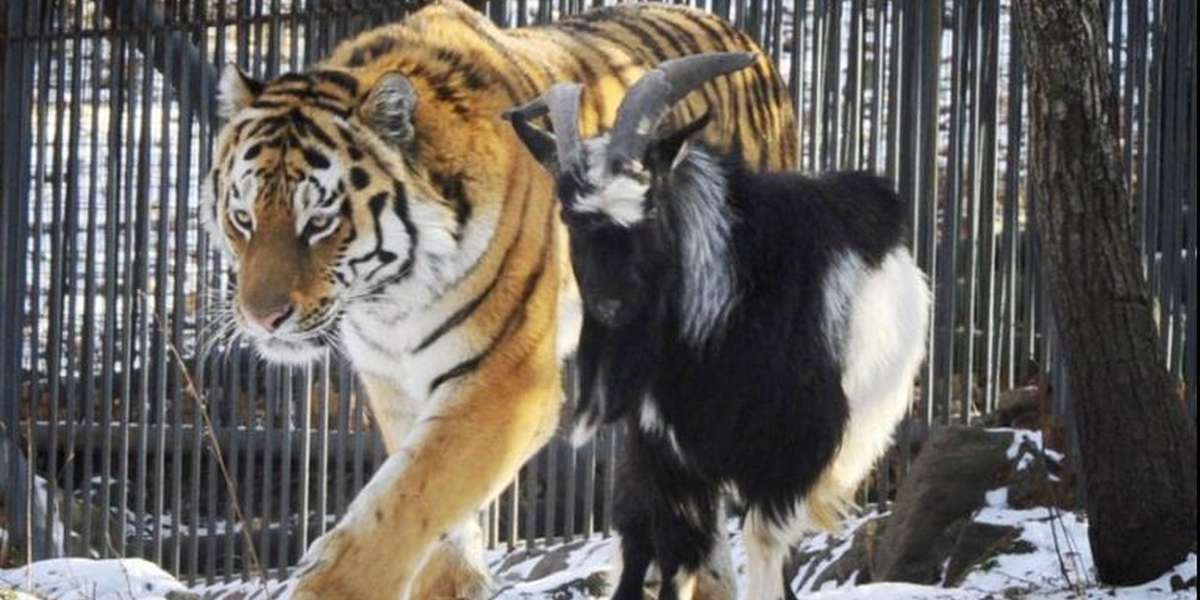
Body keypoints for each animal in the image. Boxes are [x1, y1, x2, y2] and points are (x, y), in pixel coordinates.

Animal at [201, 1, 797, 598]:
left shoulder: (505, 381)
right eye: (243, 218)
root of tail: (751, 45)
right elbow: (430, 515)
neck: (391, 300)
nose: (261, 318)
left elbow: (402, 503)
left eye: (320, 223)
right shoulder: (395, 384)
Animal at [505, 53, 931, 600]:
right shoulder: (667, 456)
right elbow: (673, 552)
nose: (612, 306)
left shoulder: (790, 455)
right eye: (568, 215)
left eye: (652, 204)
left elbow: (763, 551)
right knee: (645, 536)